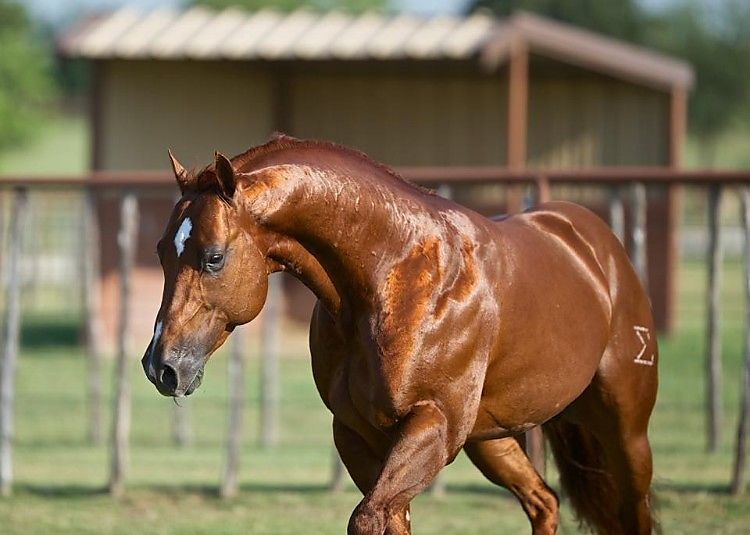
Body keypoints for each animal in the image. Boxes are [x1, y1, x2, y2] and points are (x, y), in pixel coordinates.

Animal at [141, 135, 658, 535]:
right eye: (163, 251)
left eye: (213, 257)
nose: (160, 366)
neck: (397, 276)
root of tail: (596, 246)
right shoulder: (359, 435)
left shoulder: (432, 426)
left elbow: (367, 519)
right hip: (491, 439)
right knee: (544, 501)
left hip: (626, 434)